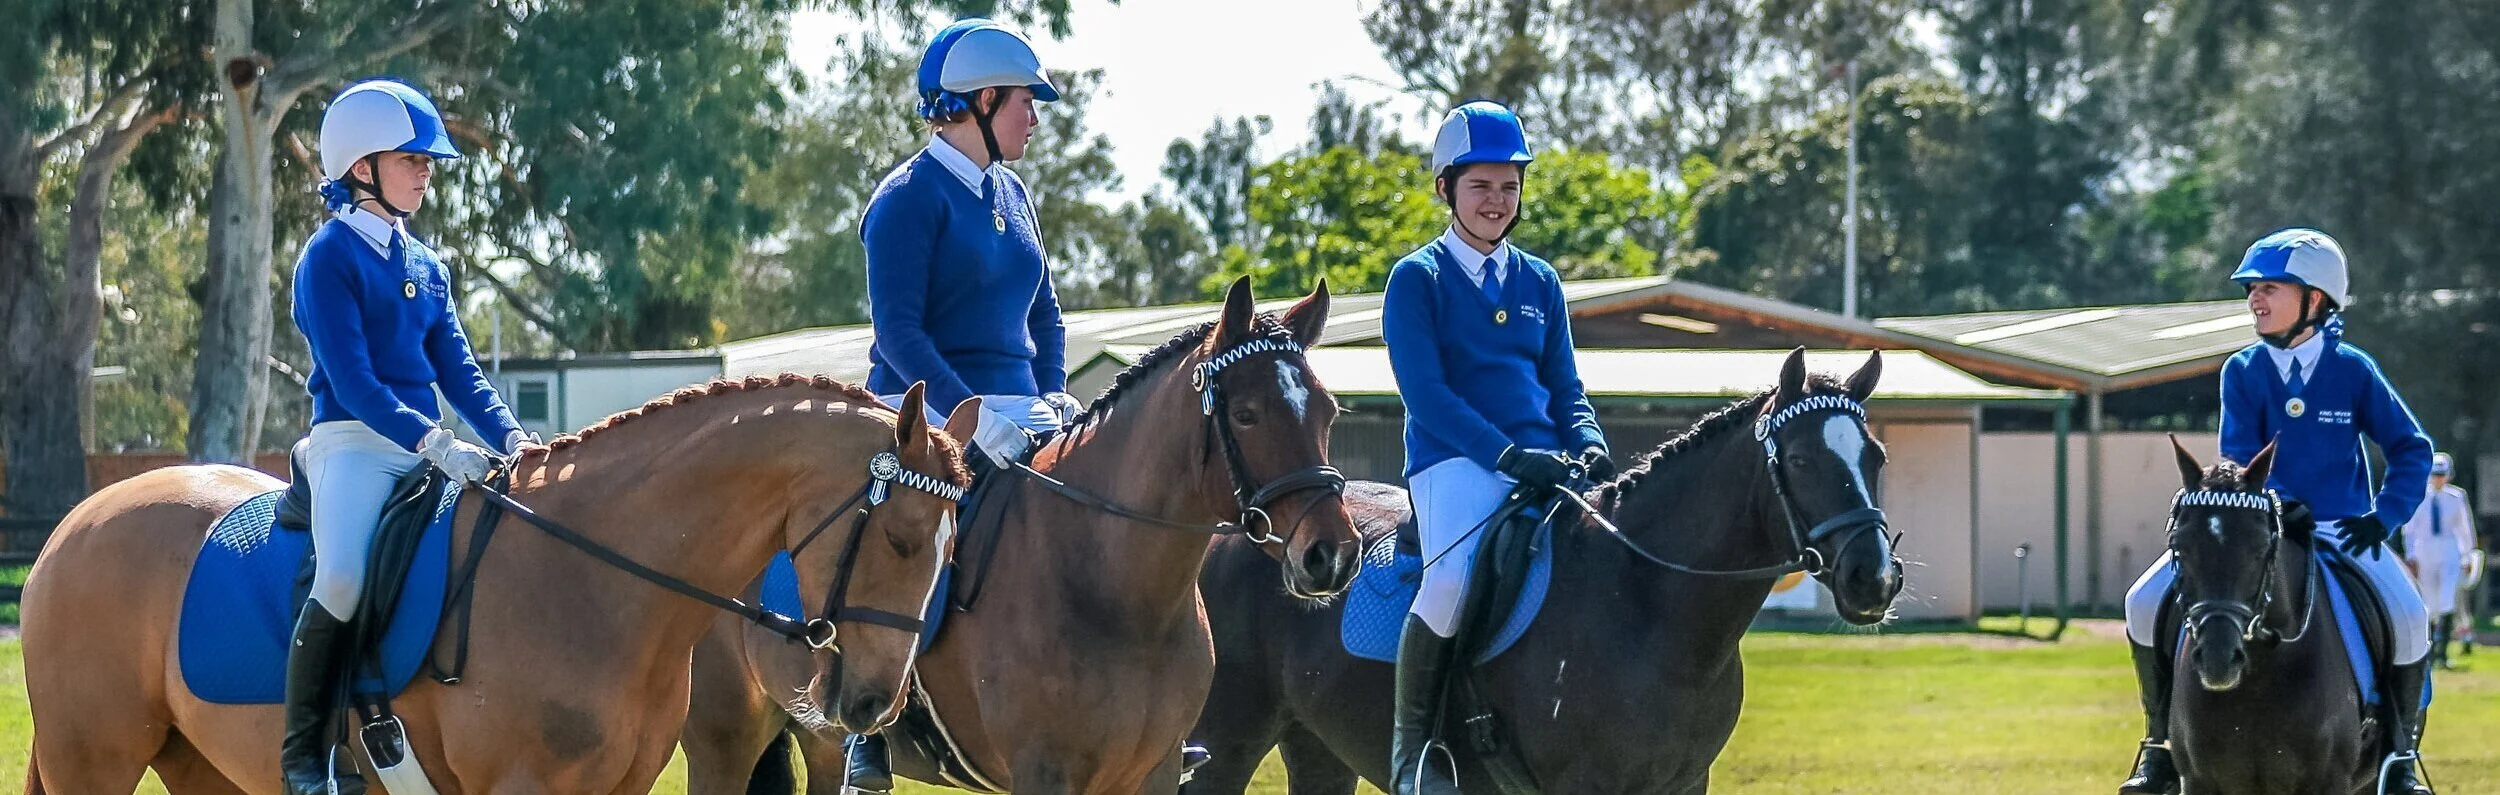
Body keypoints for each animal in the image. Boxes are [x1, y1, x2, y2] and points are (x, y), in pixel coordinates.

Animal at [22, 376, 967, 794]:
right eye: (899, 537)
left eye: (948, 546)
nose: (875, 703)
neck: (598, 583)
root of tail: (73, 523)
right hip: (92, 762)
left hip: (200, 767)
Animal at [680, 277, 1365, 795]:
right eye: (1246, 415)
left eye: (1330, 411)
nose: (1331, 555)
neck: (1117, 592)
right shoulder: (1044, 773)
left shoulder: (1153, 772)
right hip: (723, 738)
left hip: (813, 737)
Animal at [1185, 348, 1905, 795]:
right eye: (1802, 461)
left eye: (1875, 456)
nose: (1873, 577)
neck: (1650, 606)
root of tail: (1241, 527)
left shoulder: (1683, 781)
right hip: (1224, 745)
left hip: (1316, 746)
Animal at [2162, 438, 2381, 795]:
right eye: (2179, 546)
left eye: (2261, 547)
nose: (2218, 660)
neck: (2260, 676)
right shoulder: (2197, 780)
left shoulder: (2330, 780)